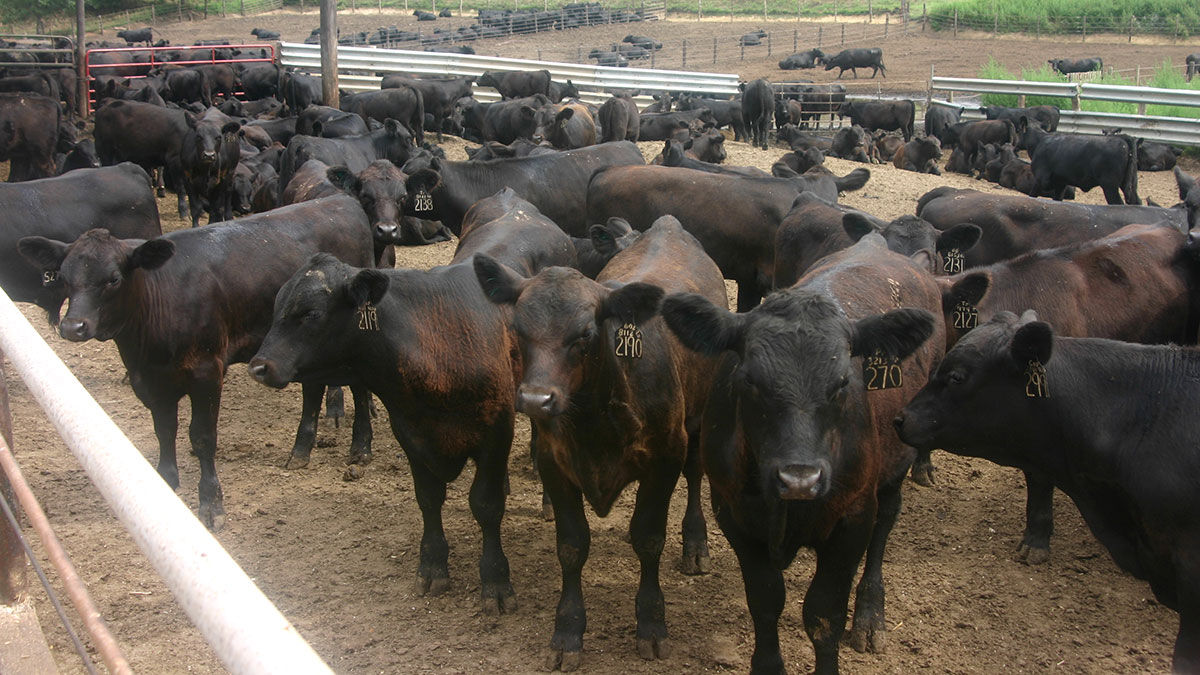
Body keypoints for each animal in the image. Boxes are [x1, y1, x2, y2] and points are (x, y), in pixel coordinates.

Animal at [17, 196, 377, 529]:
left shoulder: (207, 373)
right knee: (313, 387)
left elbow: (202, 437)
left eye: (114, 279)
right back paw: (301, 450)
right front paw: (167, 484)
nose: (72, 326)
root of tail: (340, 200)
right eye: (63, 277)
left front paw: (211, 504)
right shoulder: (149, 381)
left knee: (359, 386)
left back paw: (360, 446)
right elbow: (165, 430)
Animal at [246, 190, 577, 615]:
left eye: (311, 313)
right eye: (276, 308)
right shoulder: (411, 433)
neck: (433, 341)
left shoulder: (495, 430)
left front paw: (496, 581)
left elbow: (485, 505)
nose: (259, 366)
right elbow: (429, 499)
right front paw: (432, 565)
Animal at [472, 215, 725, 669]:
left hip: (697, 419)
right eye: (517, 329)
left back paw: (696, 544)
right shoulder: (555, 464)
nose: (535, 399)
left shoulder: (666, 457)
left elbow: (649, 538)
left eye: (586, 333)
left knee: (696, 475)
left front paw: (652, 625)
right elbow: (572, 545)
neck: (595, 422)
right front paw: (568, 631)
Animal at [660, 233, 940, 674]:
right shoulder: (734, 514)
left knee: (885, 525)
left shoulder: (852, 519)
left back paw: (870, 615)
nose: (799, 479)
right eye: (749, 379)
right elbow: (765, 601)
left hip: (895, 465)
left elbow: (823, 615)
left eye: (843, 381)